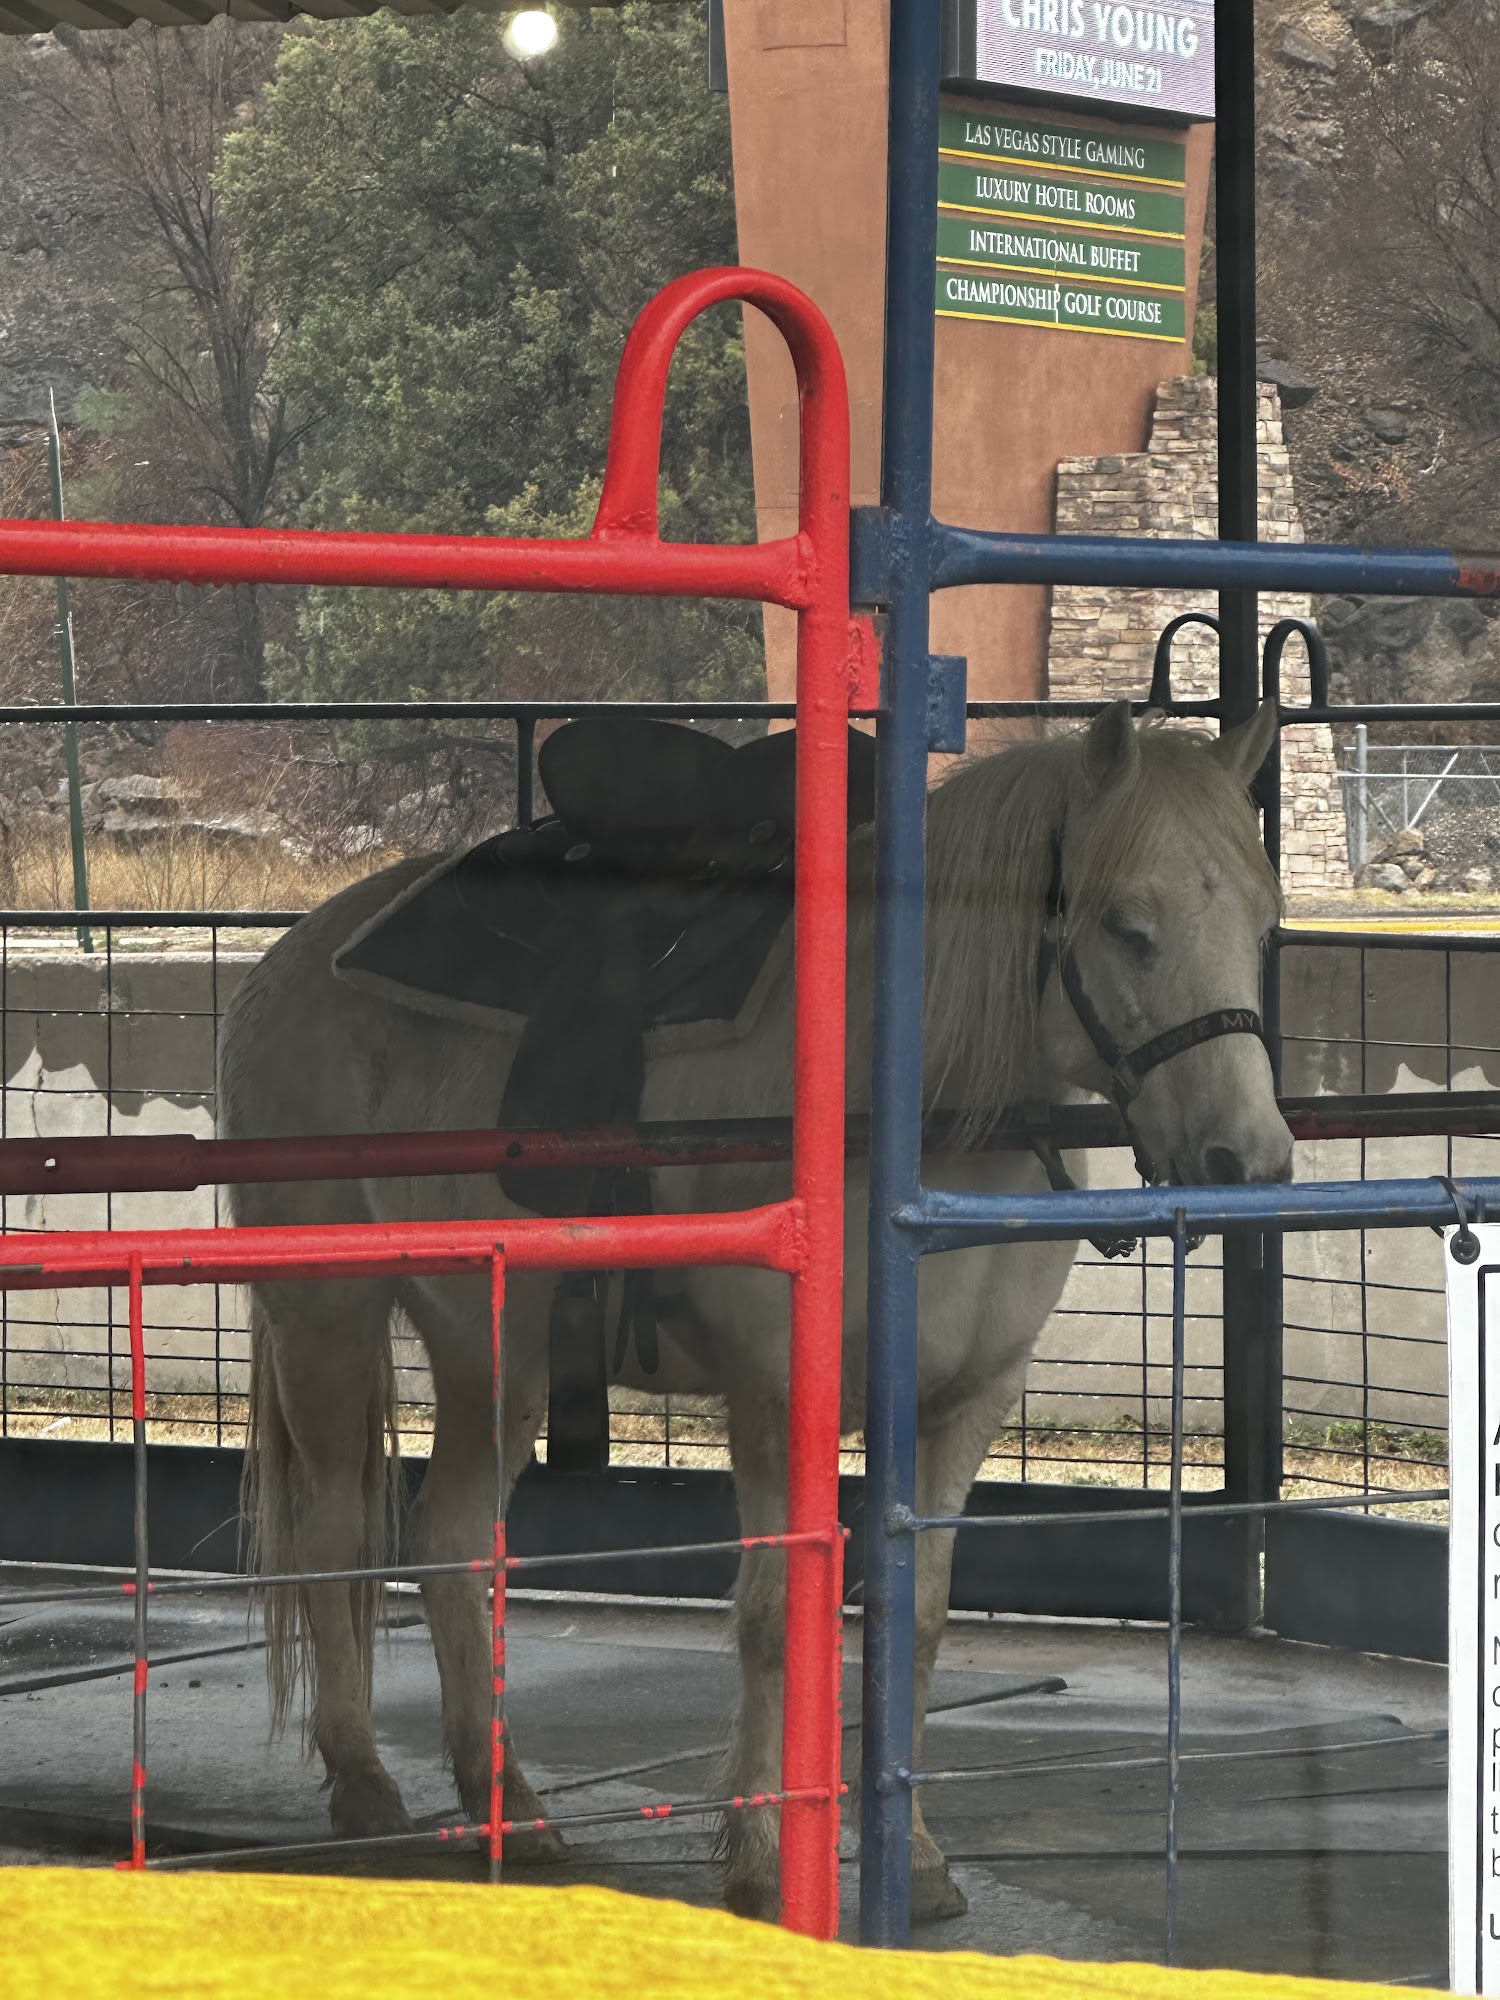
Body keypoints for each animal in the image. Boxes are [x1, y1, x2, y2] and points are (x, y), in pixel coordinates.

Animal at [218, 698, 1292, 1923]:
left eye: (1263, 921)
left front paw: (916, 1857)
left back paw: (514, 1804)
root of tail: (289, 961)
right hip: (329, 1319)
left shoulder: (963, 1400)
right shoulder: (777, 1393)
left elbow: (917, 1614)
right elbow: (776, 1614)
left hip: (492, 1346)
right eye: (1127, 927)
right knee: (331, 1535)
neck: (908, 1116)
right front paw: (760, 1851)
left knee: (449, 1542)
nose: (1248, 1160)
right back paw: (363, 1779)